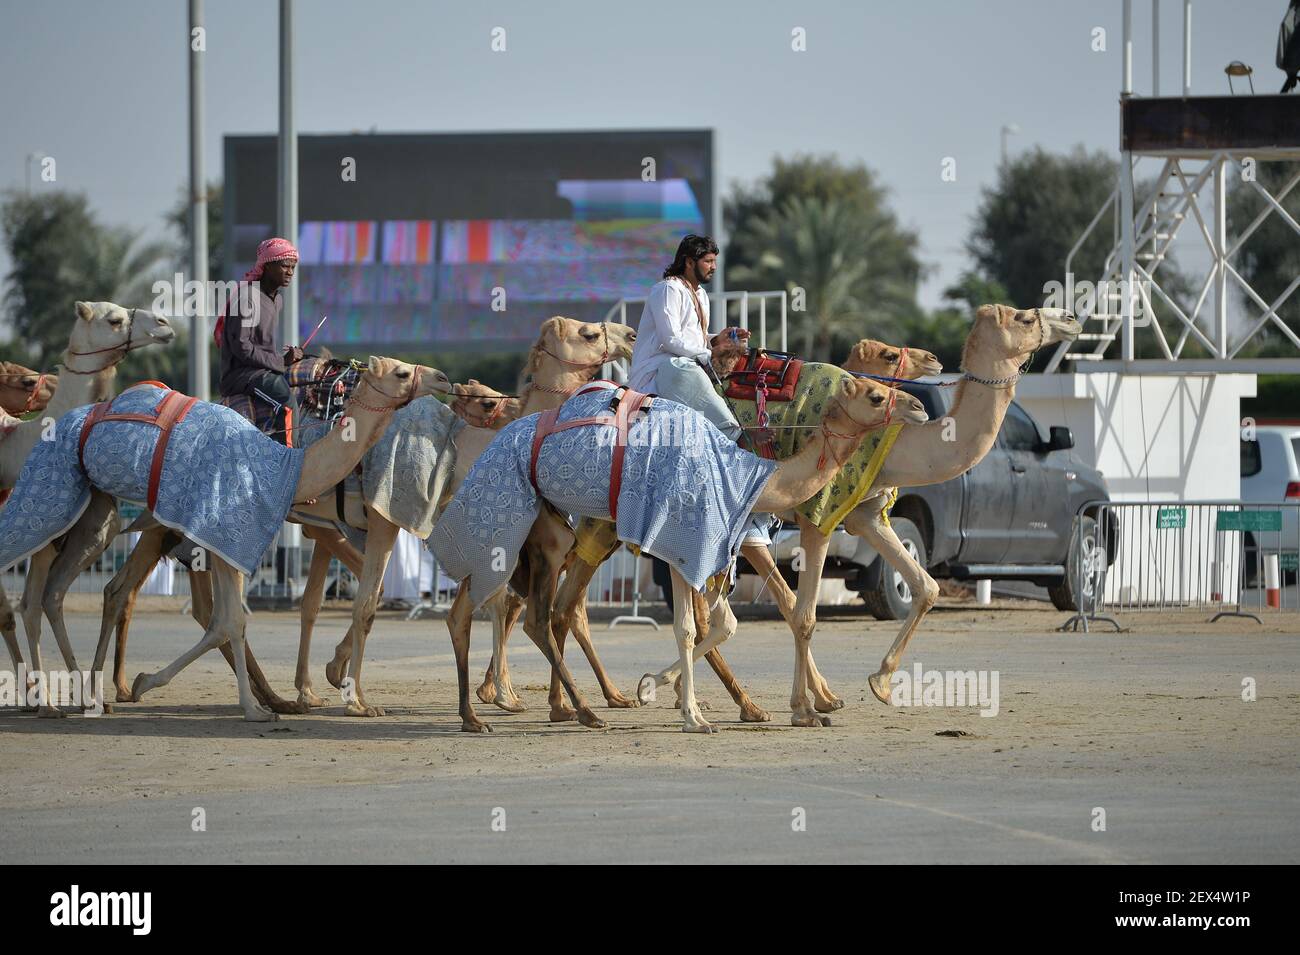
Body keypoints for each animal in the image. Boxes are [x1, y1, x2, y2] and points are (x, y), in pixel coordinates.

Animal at [478, 338, 942, 723]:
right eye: (876, 392)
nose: (918, 404)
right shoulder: (696, 541)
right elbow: (710, 623)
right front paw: (686, 706)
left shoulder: (706, 546)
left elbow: (716, 623)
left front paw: (668, 693)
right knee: (526, 602)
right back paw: (547, 704)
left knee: (553, 606)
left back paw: (567, 703)